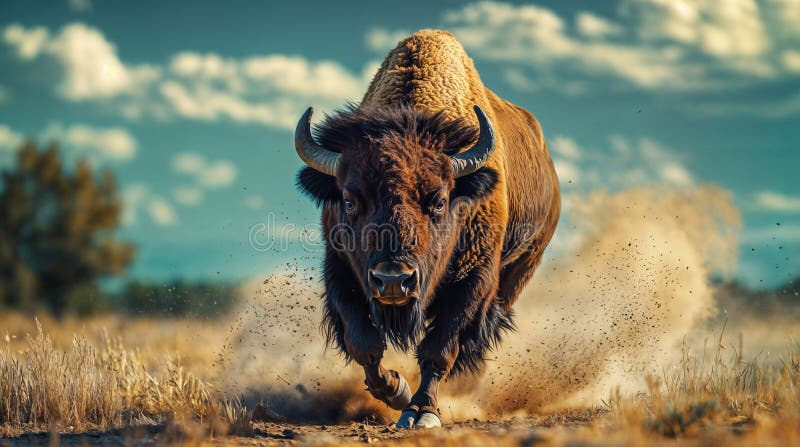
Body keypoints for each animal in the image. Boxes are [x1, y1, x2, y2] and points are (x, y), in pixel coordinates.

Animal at [294, 30, 560, 428]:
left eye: (439, 200)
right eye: (349, 199)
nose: (393, 281)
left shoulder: (476, 280)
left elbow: (440, 349)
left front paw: (421, 413)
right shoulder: (340, 270)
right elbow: (363, 342)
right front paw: (397, 390)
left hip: (519, 270)